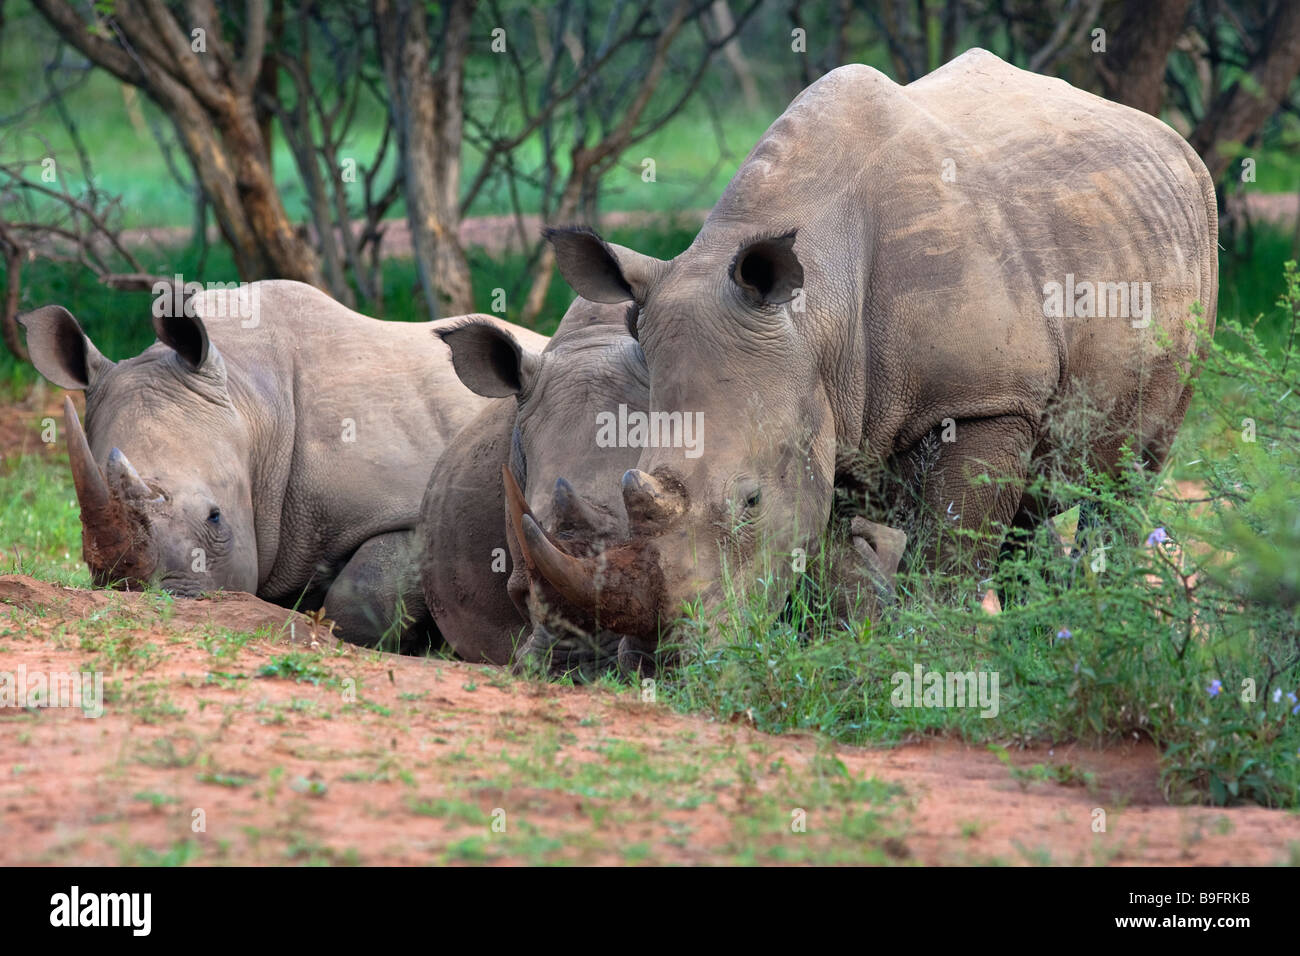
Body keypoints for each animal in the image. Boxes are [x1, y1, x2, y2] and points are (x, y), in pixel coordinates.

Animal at [524, 49, 1218, 651]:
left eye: (750, 502)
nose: (664, 658)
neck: (814, 318)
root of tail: (1175, 142)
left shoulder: (985, 398)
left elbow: (951, 550)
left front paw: (929, 658)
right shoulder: (826, 409)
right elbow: (829, 555)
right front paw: (841, 648)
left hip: (1195, 247)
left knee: (1134, 472)